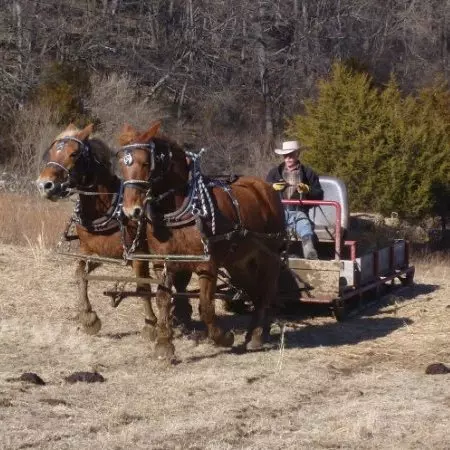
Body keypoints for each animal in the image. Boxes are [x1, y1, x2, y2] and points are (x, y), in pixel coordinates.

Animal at [34, 122, 190, 338]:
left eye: (74, 153)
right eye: (51, 153)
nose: (44, 185)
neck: (106, 206)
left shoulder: (138, 253)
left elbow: (143, 287)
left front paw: (150, 324)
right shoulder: (89, 251)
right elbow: (80, 274)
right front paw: (88, 317)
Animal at [116, 120, 284, 358]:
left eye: (146, 162)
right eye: (122, 163)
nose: (132, 211)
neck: (180, 209)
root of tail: (265, 188)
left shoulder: (208, 265)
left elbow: (205, 306)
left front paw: (223, 337)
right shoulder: (163, 263)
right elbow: (163, 299)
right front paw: (164, 345)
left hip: (269, 255)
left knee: (267, 290)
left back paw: (258, 335)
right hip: (239, 262)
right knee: (254, 290)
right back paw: (255, 332)